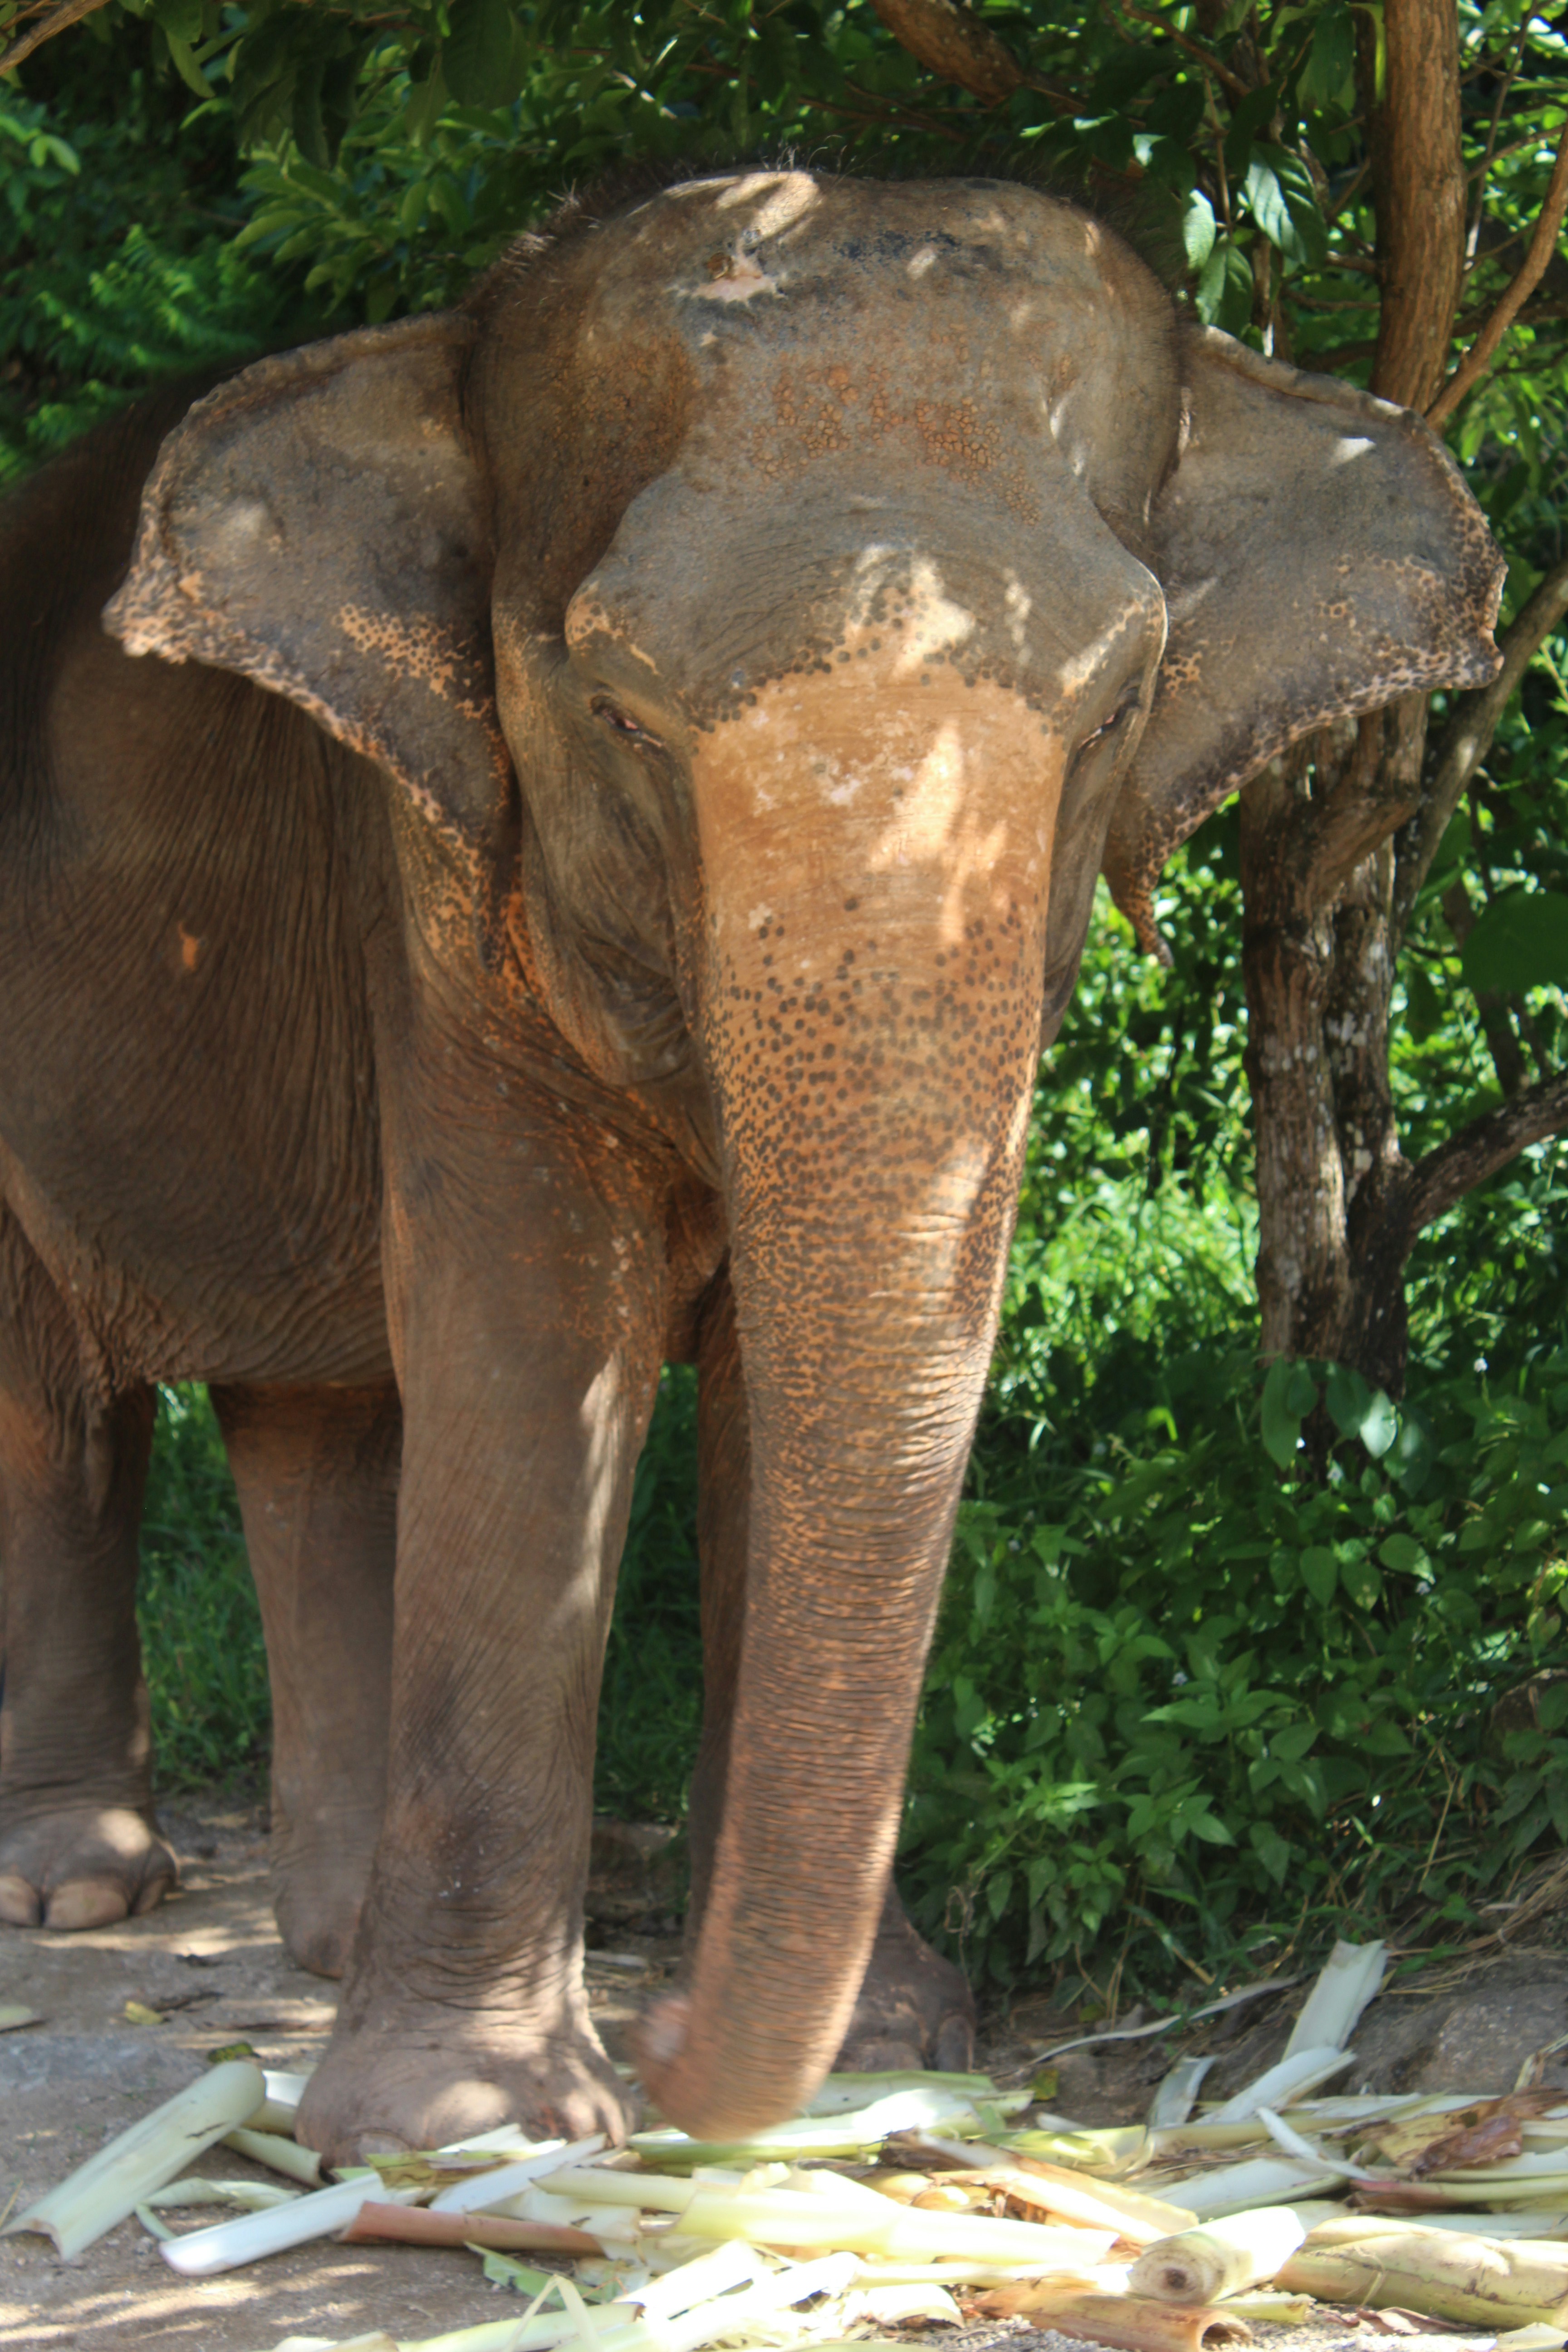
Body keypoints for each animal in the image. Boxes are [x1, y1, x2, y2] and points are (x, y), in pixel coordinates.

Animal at [9, 164, 1500, 2162]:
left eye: (1118, 707)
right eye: (615, 706)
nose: (668, 2029)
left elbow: (757, 1401)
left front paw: (880, 2046)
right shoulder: (446, 889)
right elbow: (529, 1343)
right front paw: (460, 2130)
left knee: (308, 1413)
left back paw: (320, 1935)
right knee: (57, 1406)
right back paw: (80, 1891)